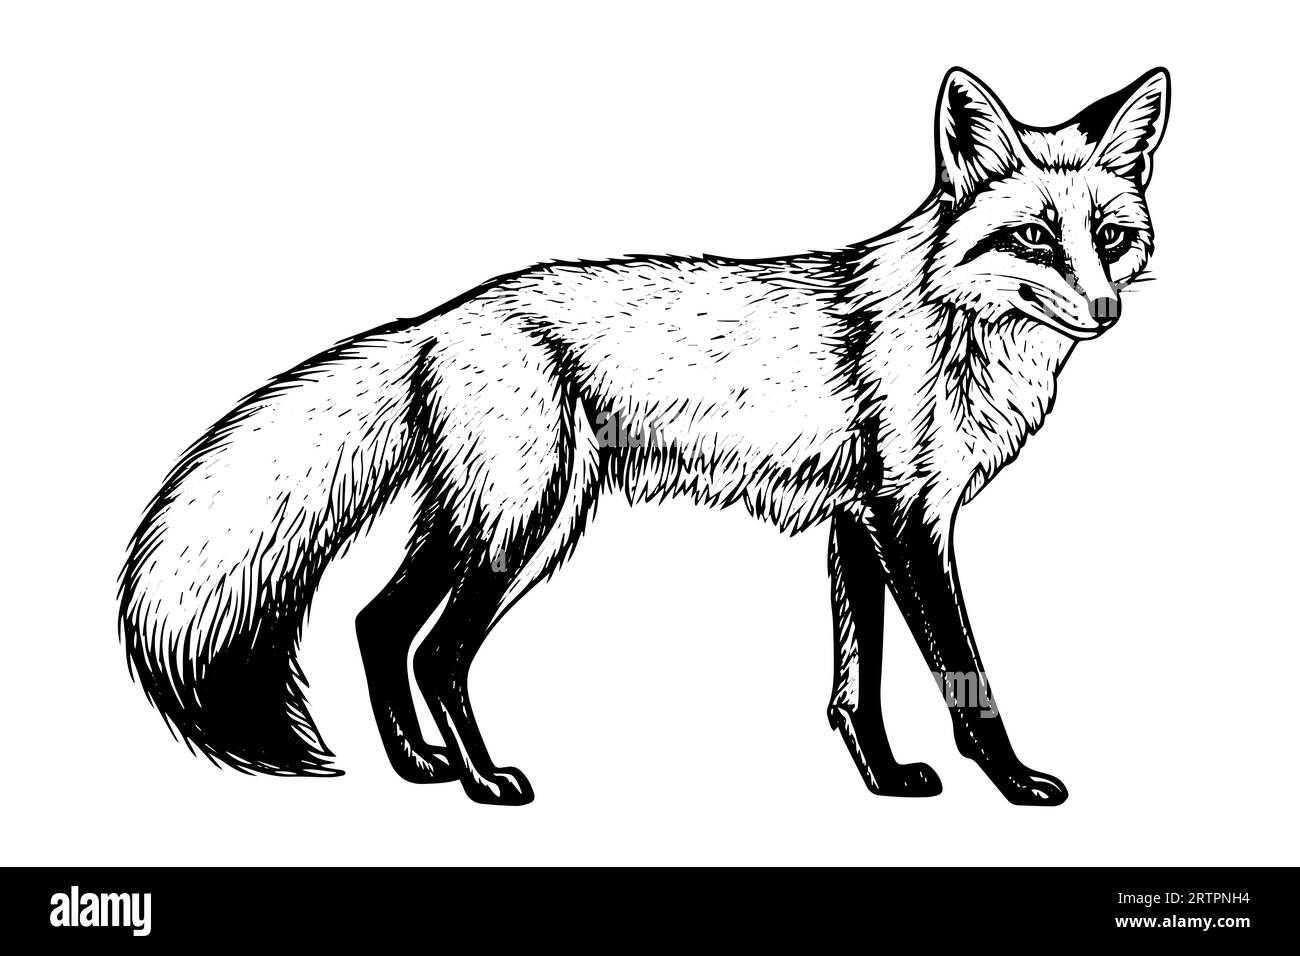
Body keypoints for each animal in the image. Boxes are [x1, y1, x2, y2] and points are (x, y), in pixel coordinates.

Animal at [120, 67, 1169, 806]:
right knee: (434, 651)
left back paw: (419, 765)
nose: (1106, 310)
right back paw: (484, 781)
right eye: (1034, 240)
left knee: (377, 624)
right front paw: (1017, 783)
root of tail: (440, 319)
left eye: (1111, 239)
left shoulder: (857, 523)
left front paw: (883, 779)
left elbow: (856, 683)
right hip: (518, 528)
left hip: (491, 526)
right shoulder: (910, 523)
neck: (958, 330)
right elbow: (965, 679)